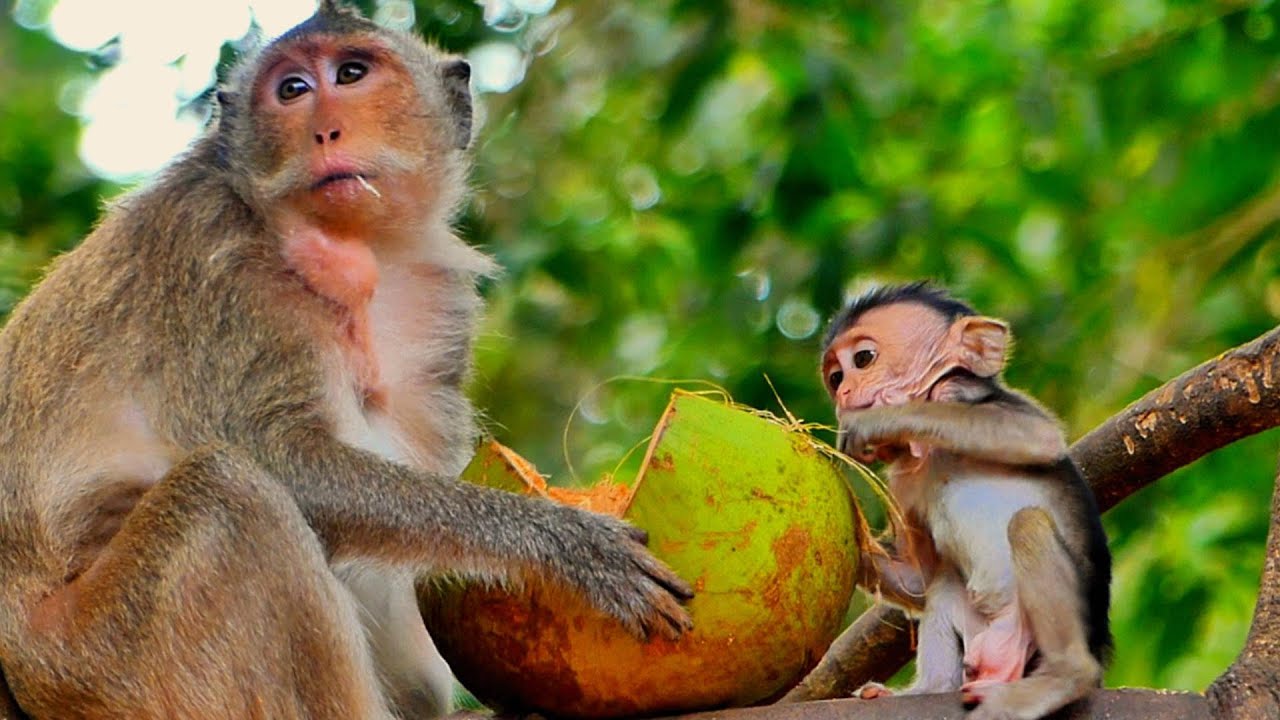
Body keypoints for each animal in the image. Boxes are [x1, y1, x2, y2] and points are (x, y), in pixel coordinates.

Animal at [0, 3, 693, 719]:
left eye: (352, 73)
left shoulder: (435, 299)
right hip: (102, 660)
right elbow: (281, 460)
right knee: (228, 494)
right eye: (292, 89)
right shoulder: (211, 264)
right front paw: (563, 544)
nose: (324, 129)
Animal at [820, 282, 1111, 720]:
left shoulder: (960, 393)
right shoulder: (904, 482)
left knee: (1026, 524)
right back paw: (925, 689)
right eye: (836, 377)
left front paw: (875, 421)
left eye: (863, 359)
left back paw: (1063, 675)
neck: (925, 452)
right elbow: (917, 580)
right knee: (942, 583)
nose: (845, 394)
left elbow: (1037, 437)